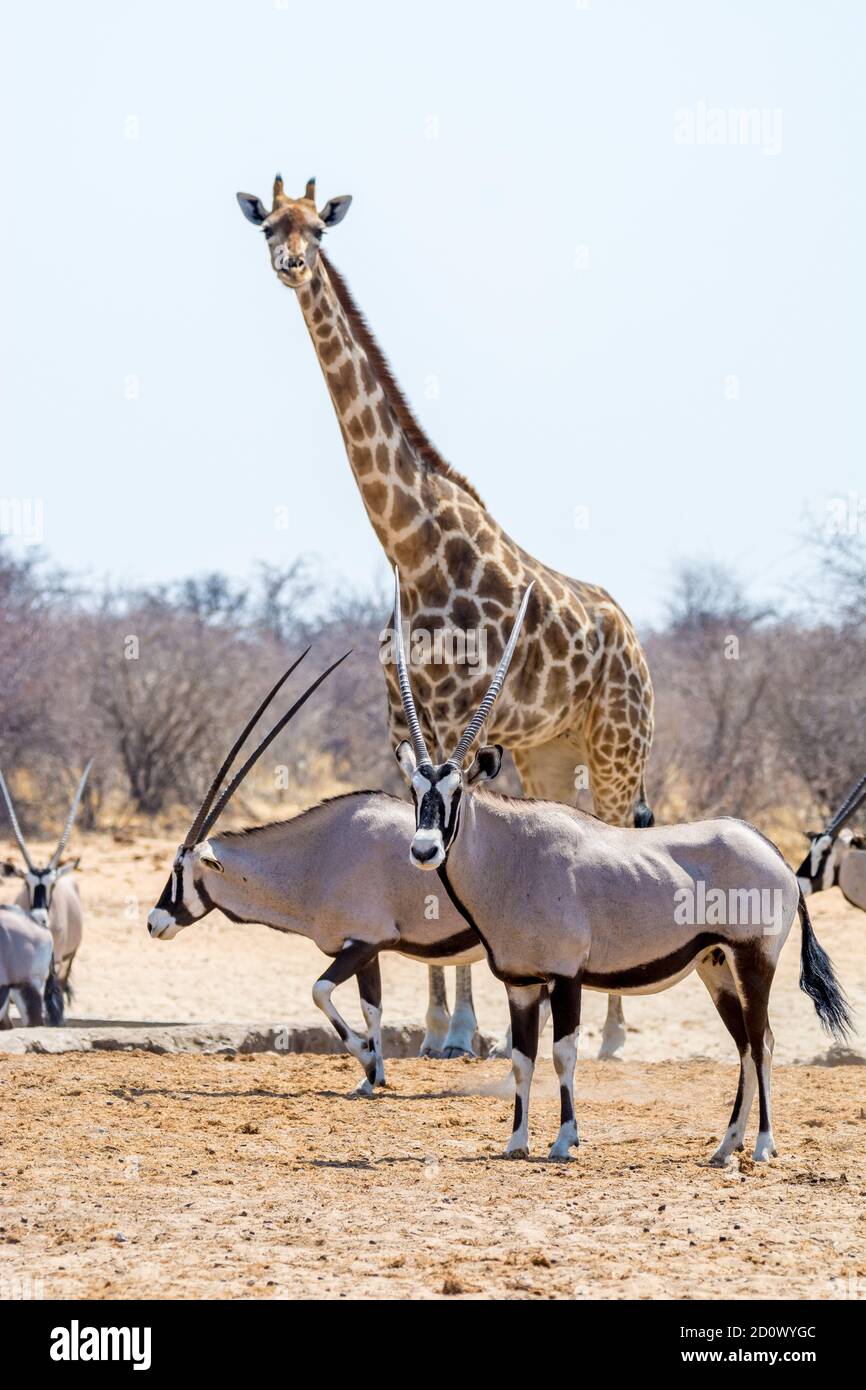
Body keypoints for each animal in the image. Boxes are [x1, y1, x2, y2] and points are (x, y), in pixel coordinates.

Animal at [237, 175, 655, 1059]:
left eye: (319, 229)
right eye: (269, 226)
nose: (291, 265)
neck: (410, 542)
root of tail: (633, 638)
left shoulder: (464, 706)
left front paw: (465, 1027)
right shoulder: (403, 713)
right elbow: (418, 845)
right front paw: (438, 1026)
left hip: (617, 745)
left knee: (622, 833)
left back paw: (612, 1034)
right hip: (550, 752)